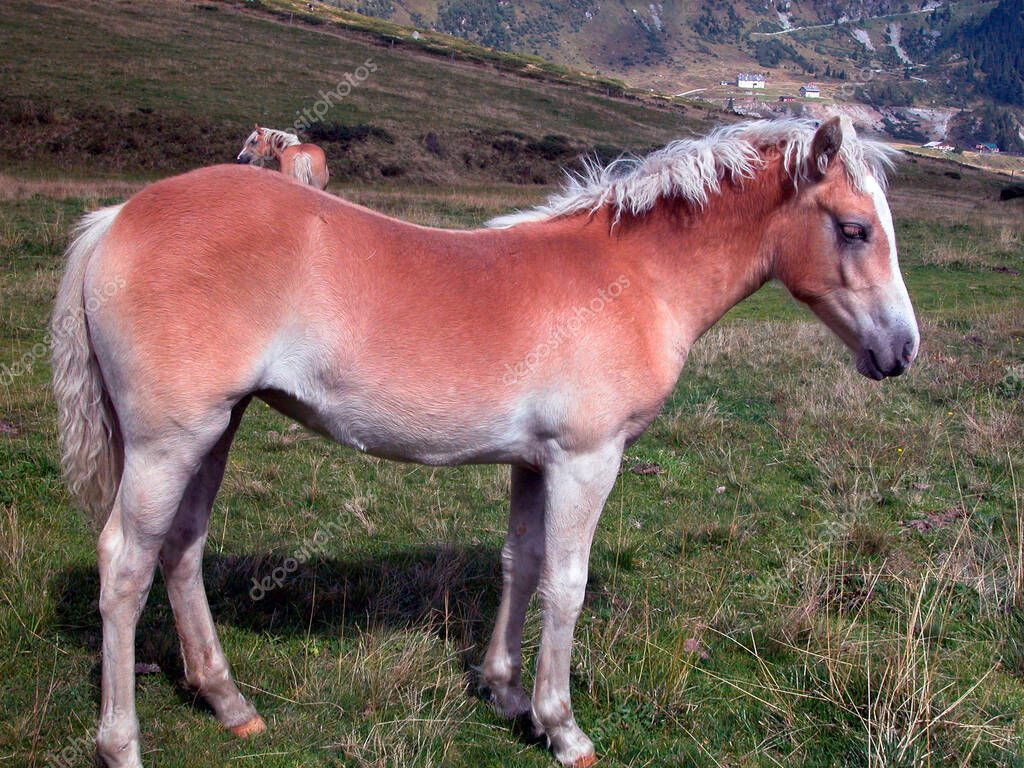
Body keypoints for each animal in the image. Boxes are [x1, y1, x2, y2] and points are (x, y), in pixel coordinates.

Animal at [51, 117, 918, 768]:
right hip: (171, 440)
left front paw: (505, 694)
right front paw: (563, 727)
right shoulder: (586, 460)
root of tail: (115, 219)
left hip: (216, 428)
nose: (902, 351)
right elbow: (565, 584)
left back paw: (231, 704)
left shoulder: (535, 463)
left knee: (181, 548)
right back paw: (122, 744)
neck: (630, 277)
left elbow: (519, 563)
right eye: (854, 229)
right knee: (125, 565)